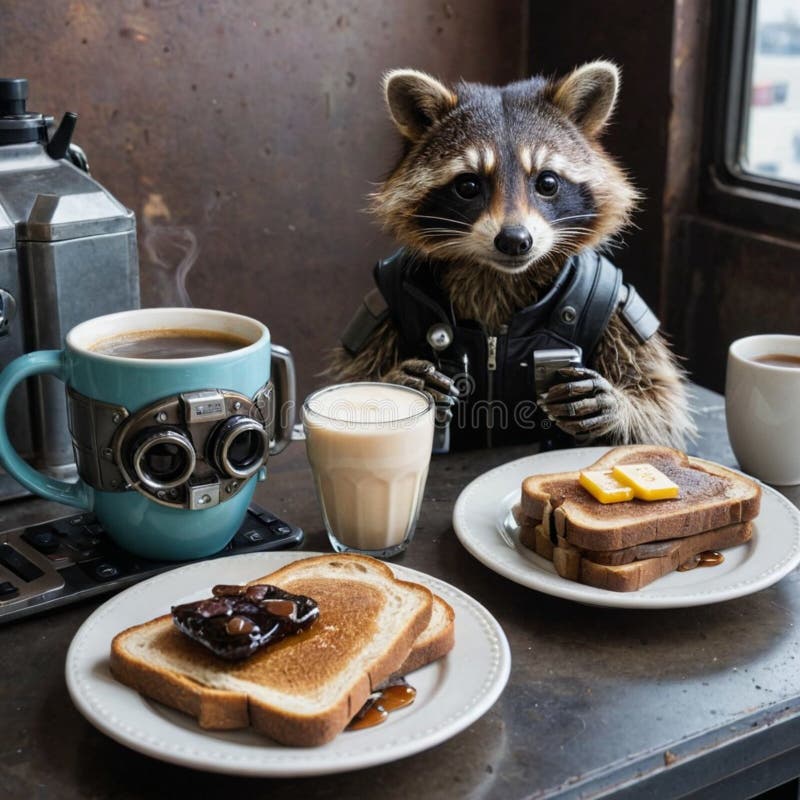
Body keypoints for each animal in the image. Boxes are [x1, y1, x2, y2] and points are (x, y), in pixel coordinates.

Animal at [328, 61, 695, 450]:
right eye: (468, 185)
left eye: (547, 183)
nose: (515, 240)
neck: (498, 273)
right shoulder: (382, 305)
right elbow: (353, 376)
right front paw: (399, 380)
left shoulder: (616, 303)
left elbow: (659, 409)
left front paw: (621, 407)